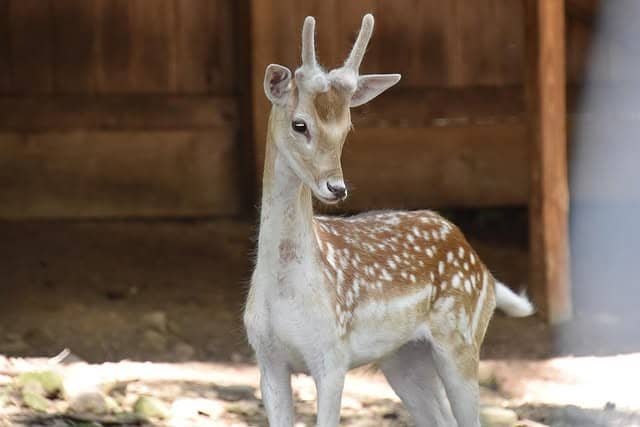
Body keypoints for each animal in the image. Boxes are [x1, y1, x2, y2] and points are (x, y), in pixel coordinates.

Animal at [244, 14, 534, 427]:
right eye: (300, 124)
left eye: (347, 127)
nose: (336, 188)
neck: (286, 292)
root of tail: (482, 268)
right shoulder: (266, 357)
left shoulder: (332, 355)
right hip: (402, 357)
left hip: (462, 338)